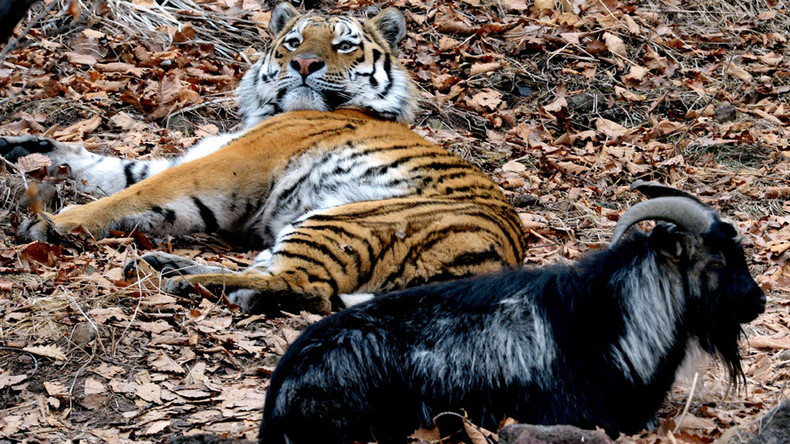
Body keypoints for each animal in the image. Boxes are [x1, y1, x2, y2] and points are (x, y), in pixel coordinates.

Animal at [0, 3, 526, 314]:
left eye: (344, 44)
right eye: (294, 41)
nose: (304, 64)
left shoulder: (231, 163)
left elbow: (133, 192)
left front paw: (53, 223)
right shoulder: (205, 157)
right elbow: (107, 167)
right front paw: (22, 147)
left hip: (349, 218)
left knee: (304, 287)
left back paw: (183, 281)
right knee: (268, 275)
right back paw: (171, 266)